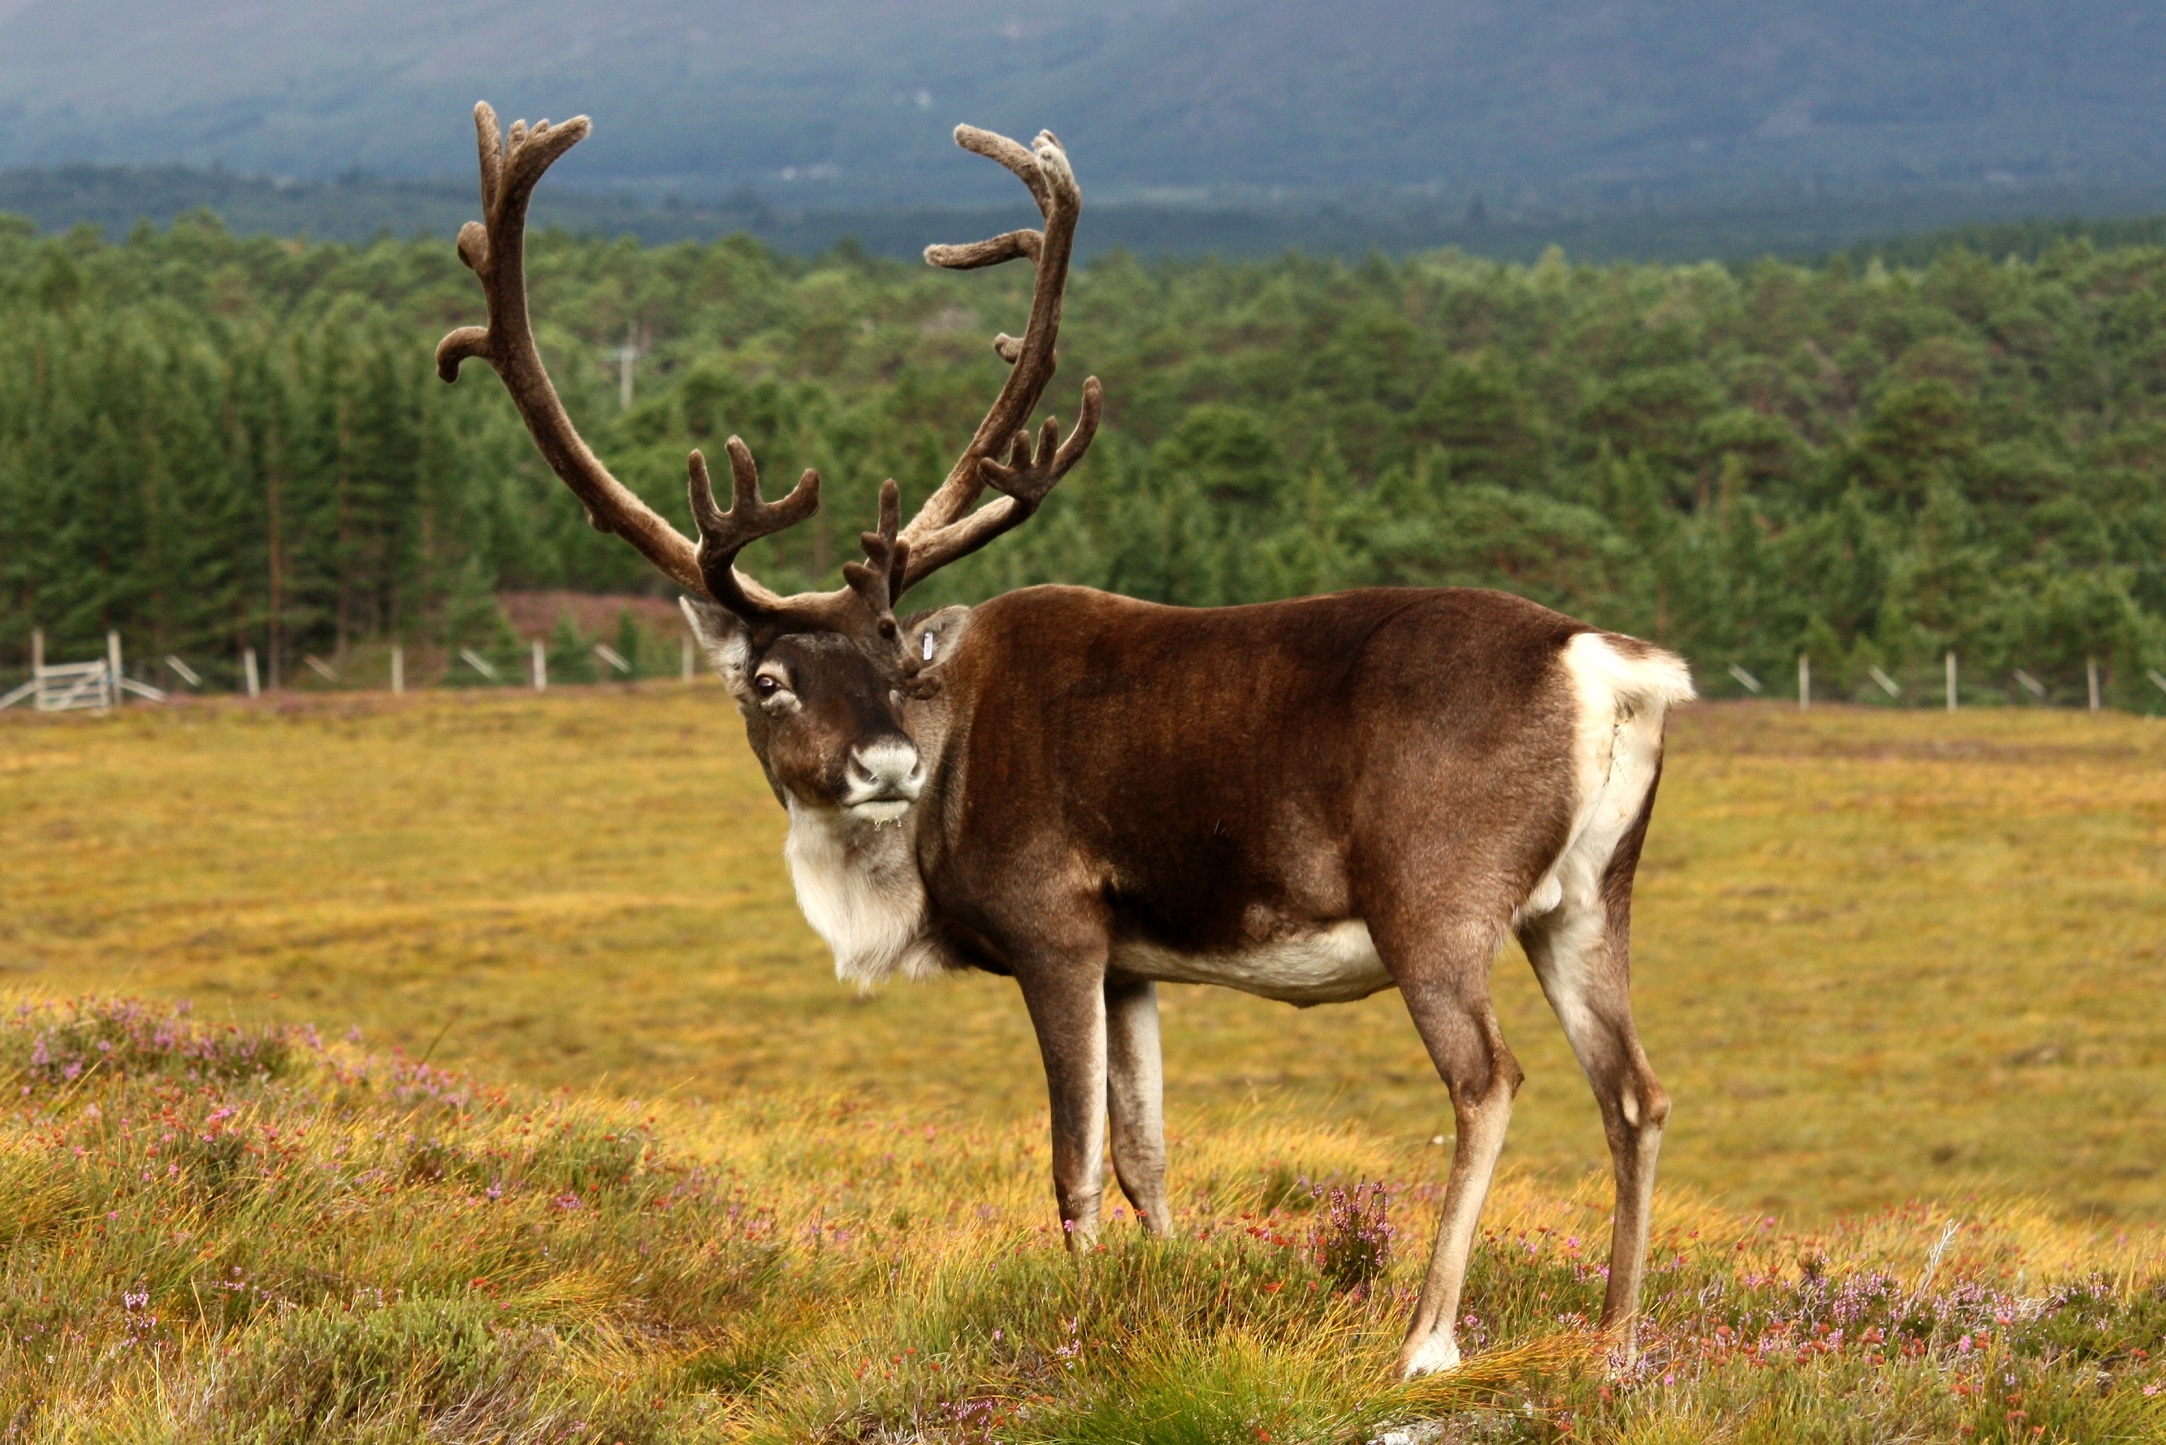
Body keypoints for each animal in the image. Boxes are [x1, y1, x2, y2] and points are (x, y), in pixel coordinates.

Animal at [437, 102, 1694, 1378]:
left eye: (893, 661)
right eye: (773, 680)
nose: (885, 765)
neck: (920, 844)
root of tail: (1610, 666)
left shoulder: (1057, 928)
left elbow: (1073, 1163)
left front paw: (1086, 1319)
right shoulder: (1134, 958)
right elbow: (1148, 1155)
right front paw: (1171, 1296)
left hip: (1436, 901)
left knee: (1490, 1078)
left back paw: (1426, 1337)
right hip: (1587, 898)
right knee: (1635, 1090)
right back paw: (1616, 1339)